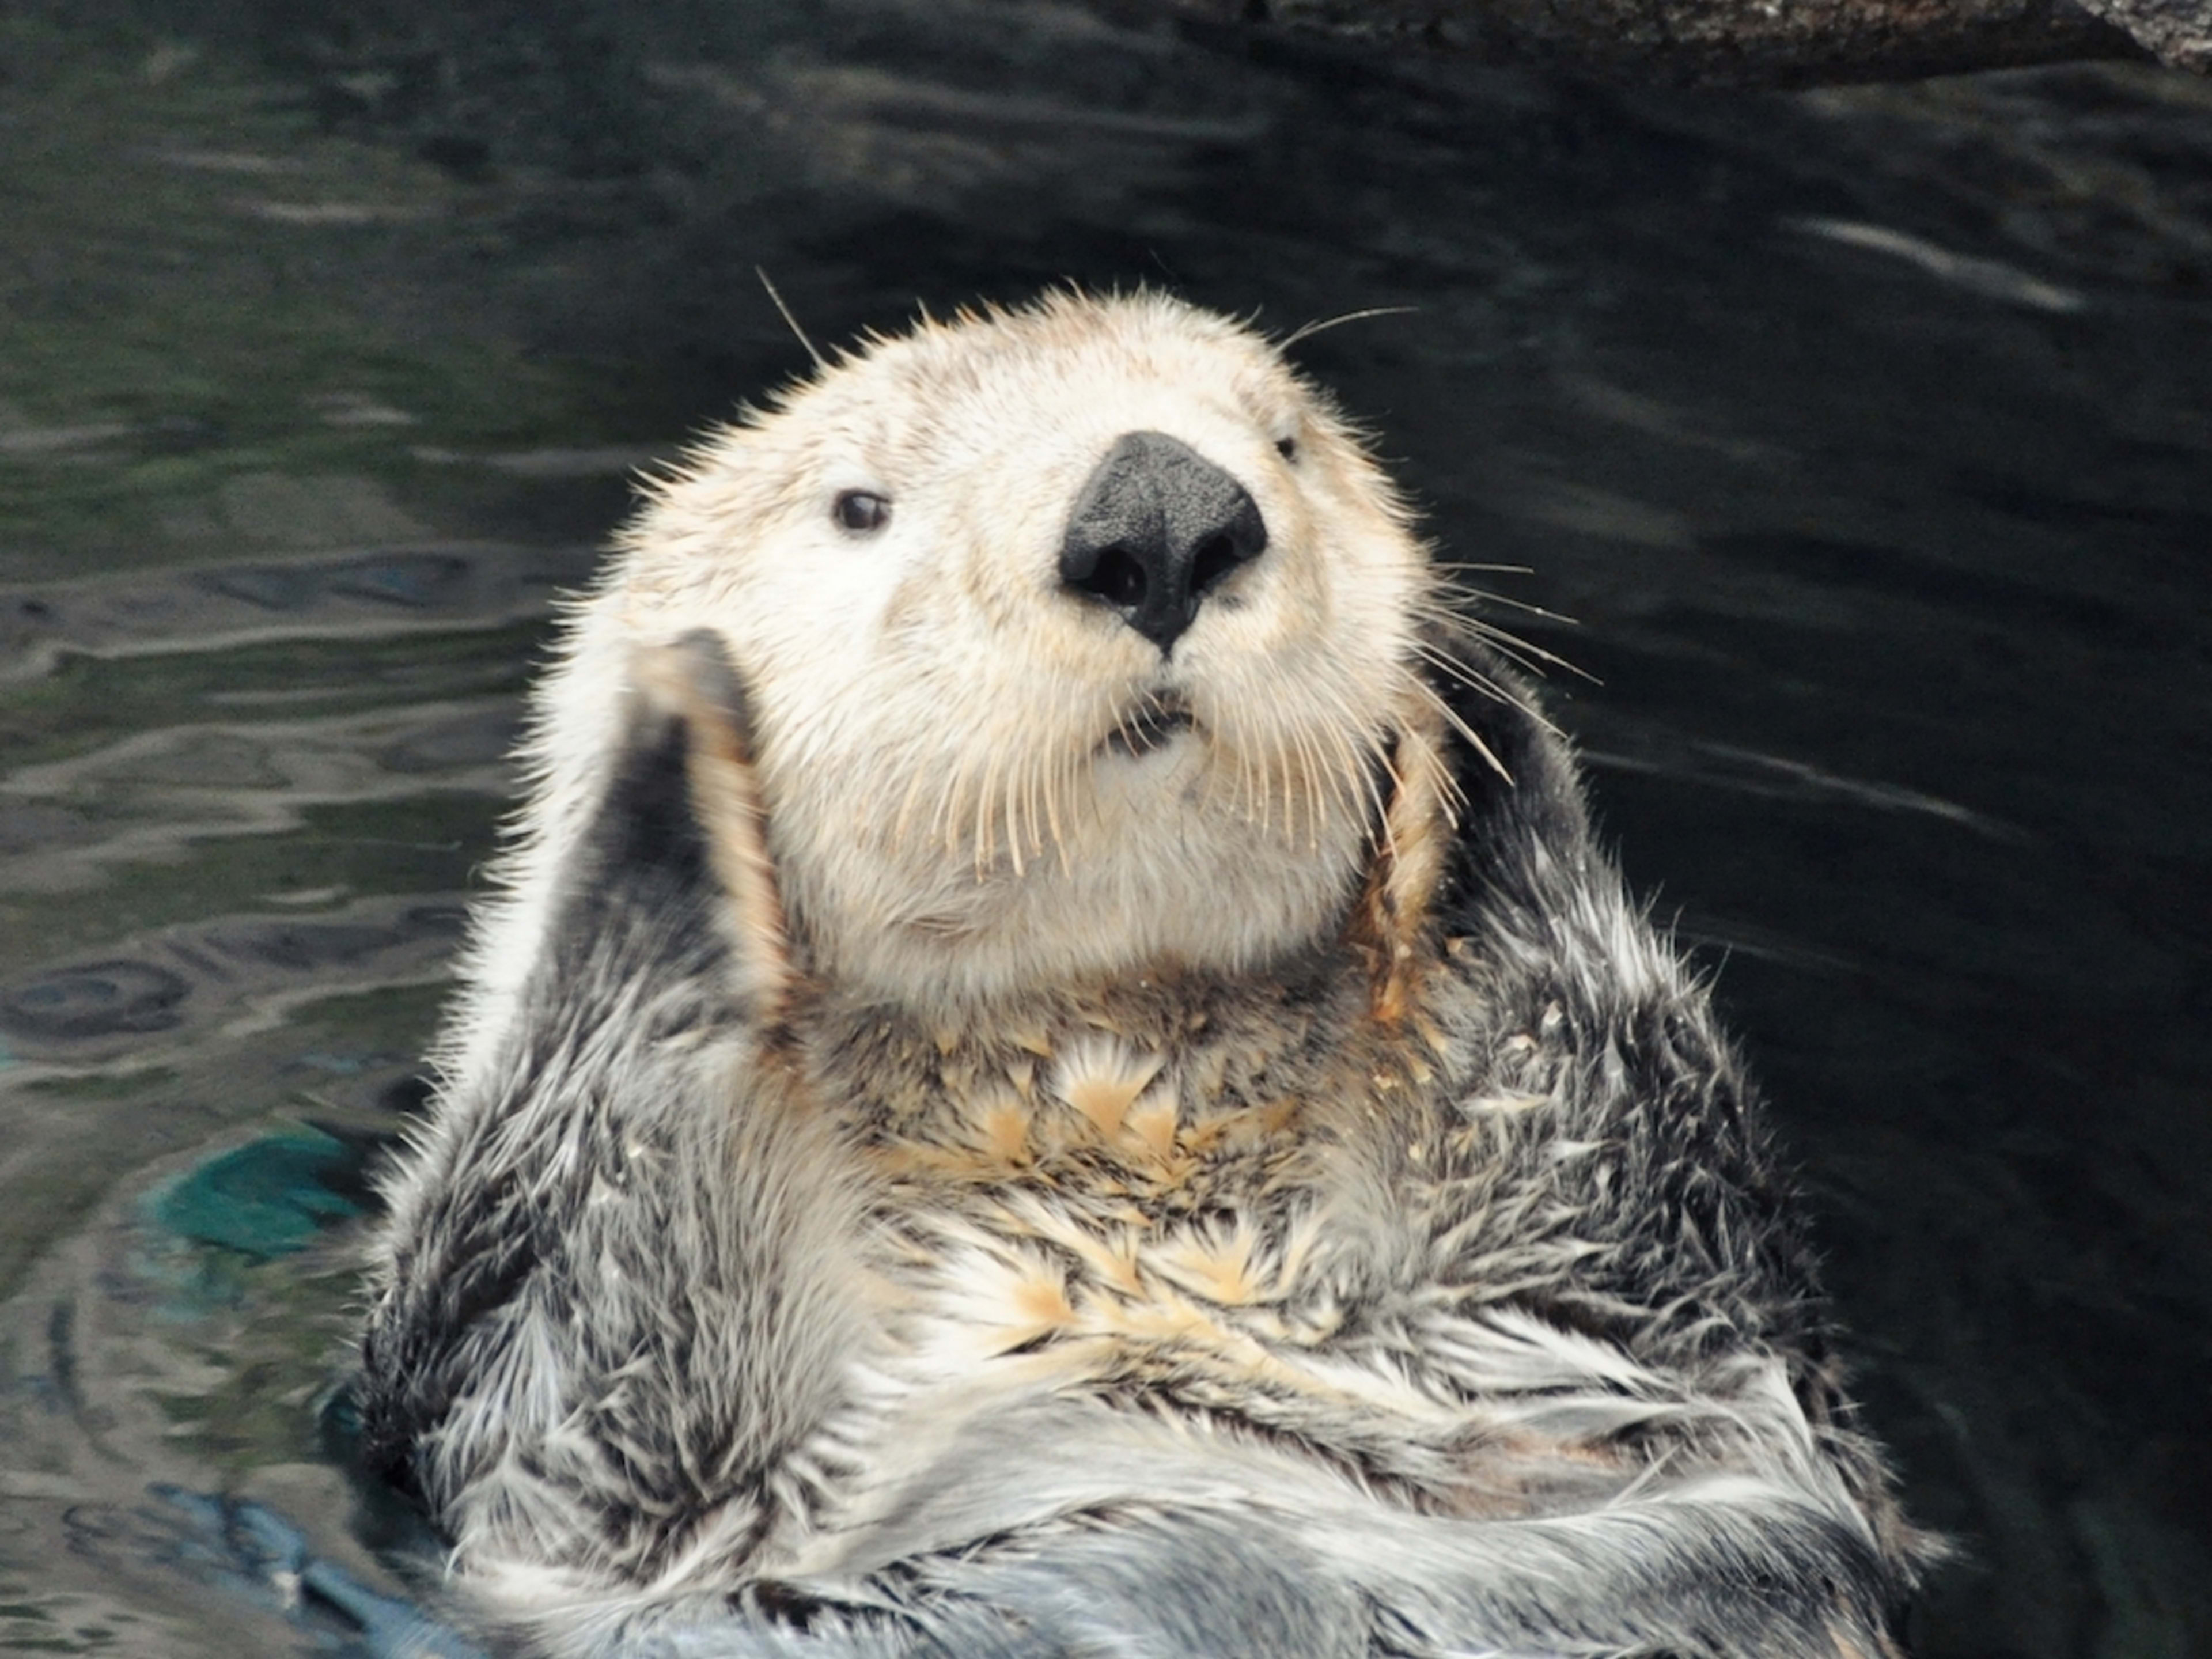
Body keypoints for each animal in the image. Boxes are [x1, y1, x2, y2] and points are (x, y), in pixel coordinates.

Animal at [360, 292, 1935, 1657]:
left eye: (1286, 441)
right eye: (859, 507)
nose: (1163, 508)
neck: (1102, 1114)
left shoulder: (1656, 1351)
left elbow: (1626, 1169)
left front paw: (1470, 725)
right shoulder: (552, 1438)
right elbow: (612, 1308)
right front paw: (672, 765)